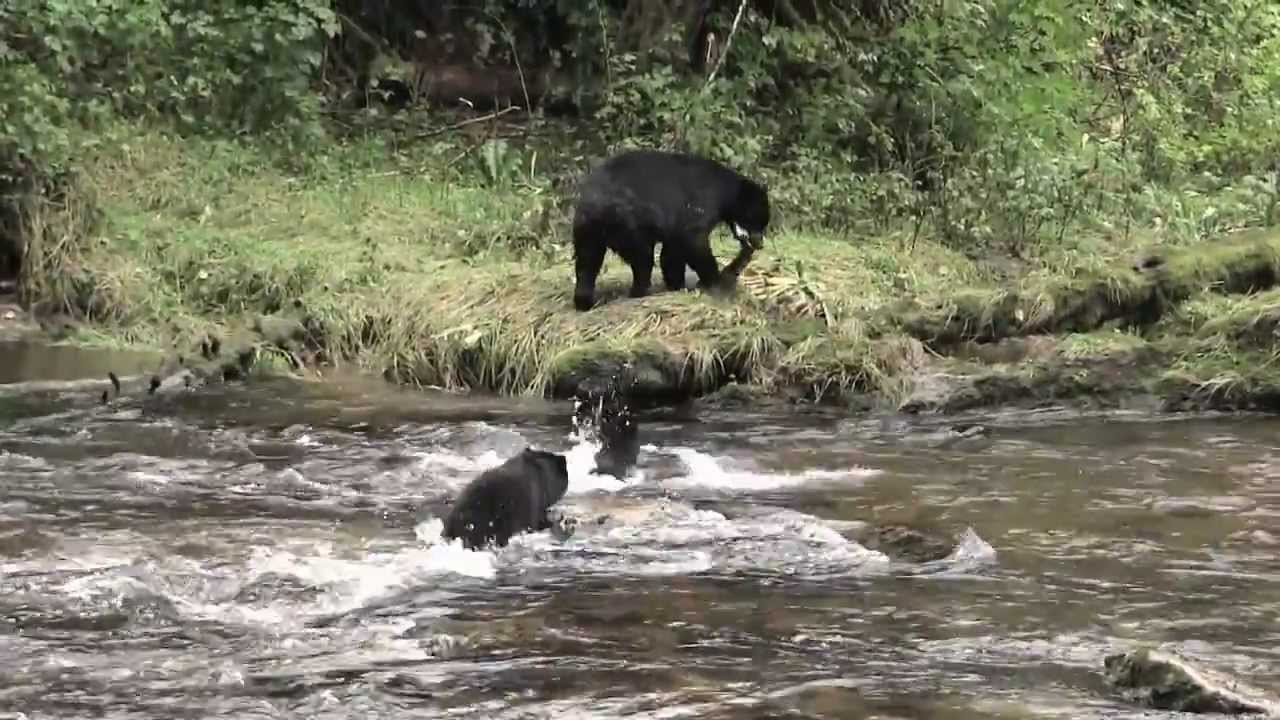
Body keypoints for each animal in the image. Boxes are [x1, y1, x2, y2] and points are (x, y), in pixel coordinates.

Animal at [570, 149, 771, 312]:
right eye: (759, 221)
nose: (759, 243)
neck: (724, 193)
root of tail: (597, 206)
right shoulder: (698, 204)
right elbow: (693, 240)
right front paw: (713, 280)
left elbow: (672, 252)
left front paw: (676, 283)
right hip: (630, 223)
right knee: (642, 259)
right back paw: (639, 291)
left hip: (586, 229)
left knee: (586, 263)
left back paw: (584, 301)